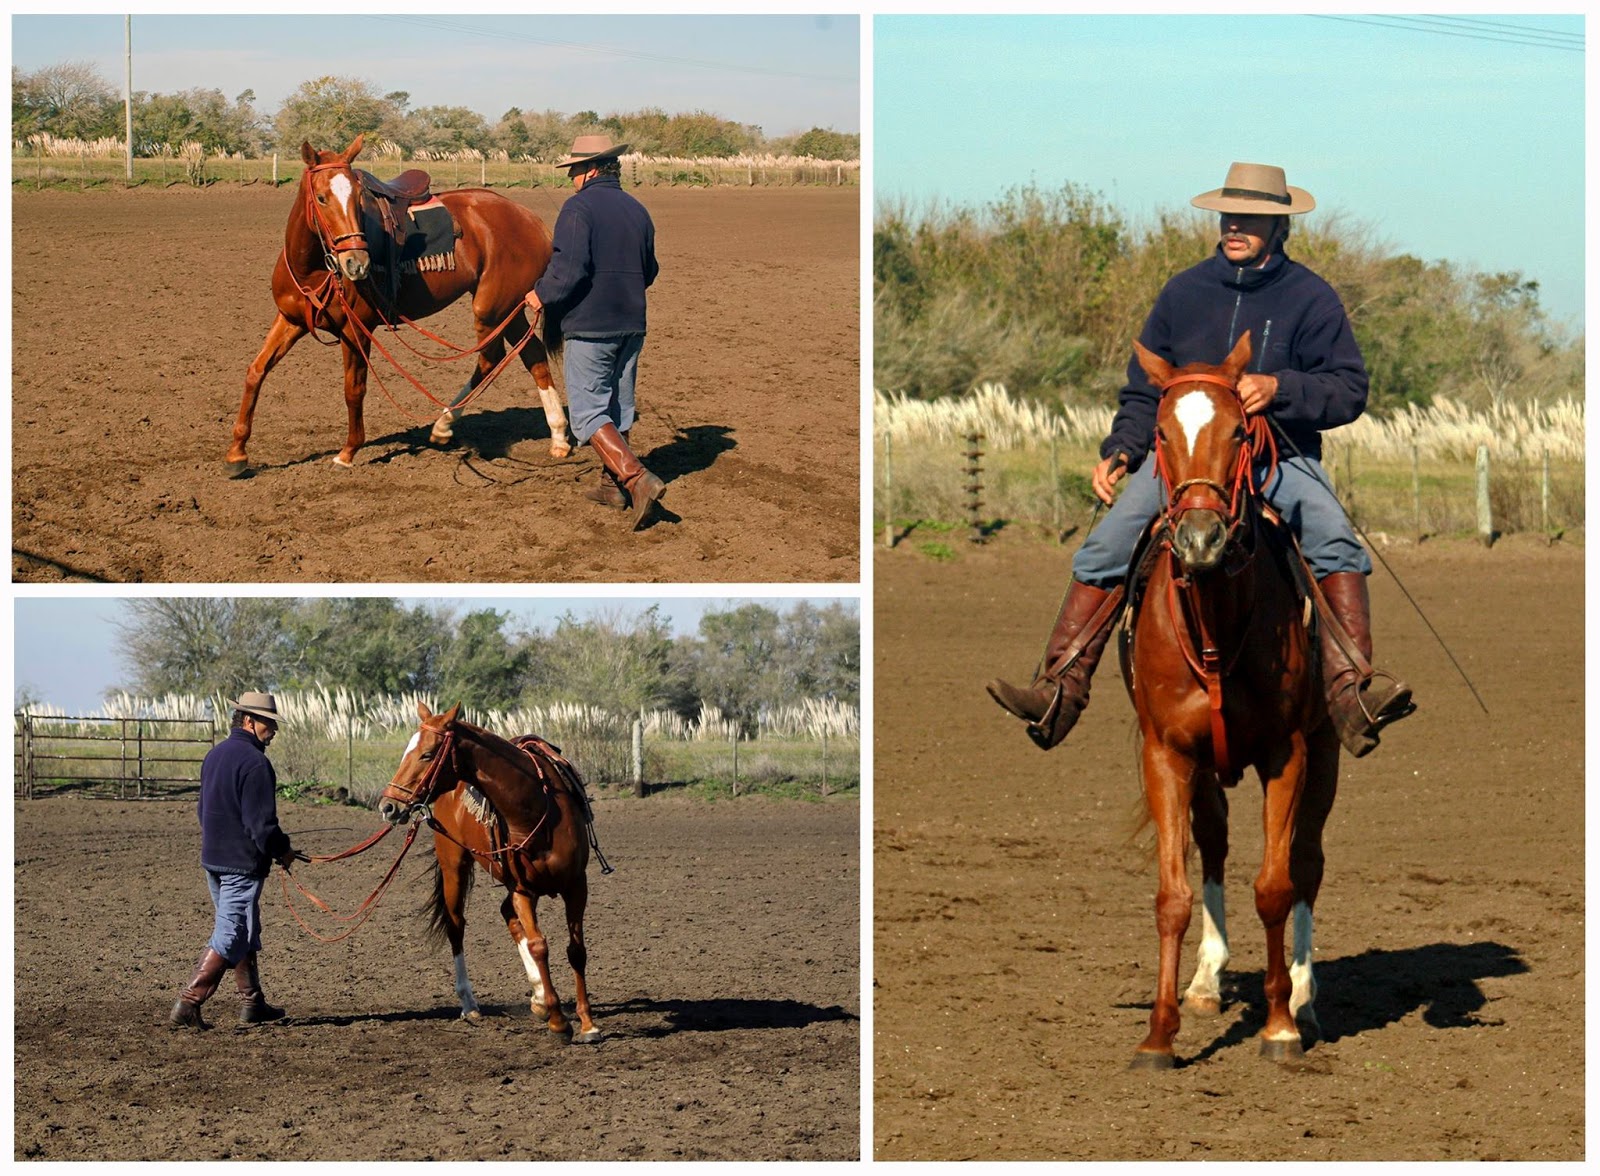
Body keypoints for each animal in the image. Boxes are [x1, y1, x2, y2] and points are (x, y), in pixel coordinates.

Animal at [226, 134, 571, 477]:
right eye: (321, 198)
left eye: (358, 199)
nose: (356, 264)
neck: (312, 270)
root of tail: (533, 221)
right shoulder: (290, 319)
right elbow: (256, 371)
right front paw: (237, 453)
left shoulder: (356, 330)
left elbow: (354, 389)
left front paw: (348, 451)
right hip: (509, 309)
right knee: (531, 354)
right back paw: (557, 436)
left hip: (491, 308)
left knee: (491, 357)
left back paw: (445, 424)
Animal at [378, 702, 601, 1043]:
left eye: (427, 754)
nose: (388, 806)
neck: (537, 808)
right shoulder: (523, 890)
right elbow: (539, 945)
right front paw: (558, 1022)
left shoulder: (576, 885)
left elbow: (576, 950)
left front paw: (587, 1024)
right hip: (454, 865)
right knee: (457, 925)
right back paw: (471, 1004)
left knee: (507, 915)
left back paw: (538, 999)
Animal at [1120, 331, 1339, 1069]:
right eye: (1161, 432)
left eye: (1241, 430)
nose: (1199, 540)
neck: (1217, 624)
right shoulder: (1166, 754)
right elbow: (1173, 894)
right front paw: (1159, 1035)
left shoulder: (1287, 753)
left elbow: (1275, 886)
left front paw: (1278, 1026)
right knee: (1213, 845)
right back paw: (1207, 981)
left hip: (1327, 753)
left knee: (1308, 862)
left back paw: (1303, 994)